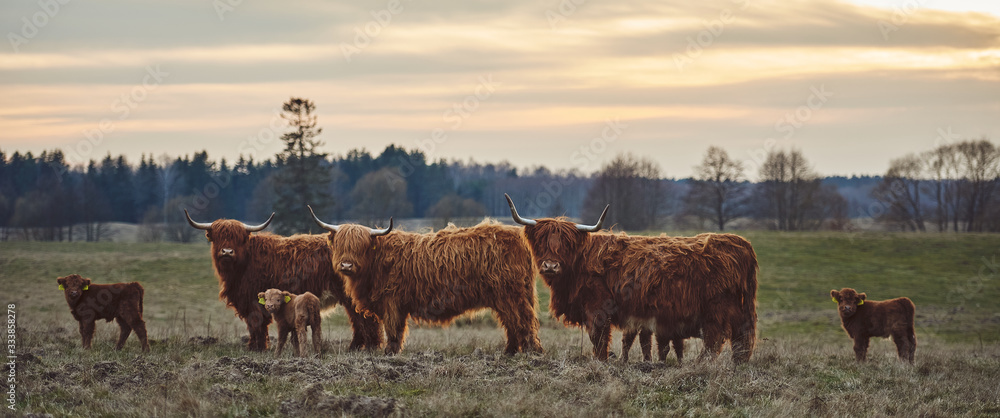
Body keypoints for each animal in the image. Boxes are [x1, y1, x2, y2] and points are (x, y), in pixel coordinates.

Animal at [185, 210, 382, 352]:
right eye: (218, 236)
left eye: (239, 238)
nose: (227, 251)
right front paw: (256, 346)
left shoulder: (253, 300)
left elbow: (256, 324)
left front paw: (256, 348)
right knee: (359, 319)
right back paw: (357, 347)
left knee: (364, 319)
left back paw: (368, 347)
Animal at [309, 206, 543, 356]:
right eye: (341, 244)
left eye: (360, 246)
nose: (346, 265)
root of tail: (515, 234)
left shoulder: (392, 301)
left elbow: (393, 328)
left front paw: (390, 352)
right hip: (507, 296)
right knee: (512, 322)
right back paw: (510, 351)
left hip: (510, 295)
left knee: (522, 319)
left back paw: (532, 351)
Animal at [506, 194, 758, 364]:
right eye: (541, 241)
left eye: (566, 244)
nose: (550, 265)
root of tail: (740, 243)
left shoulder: (598, 308)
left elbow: (598, 339)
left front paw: (601, 362)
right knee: (740, 338)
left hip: (716, 310)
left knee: (714, 340)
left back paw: (700, 365)